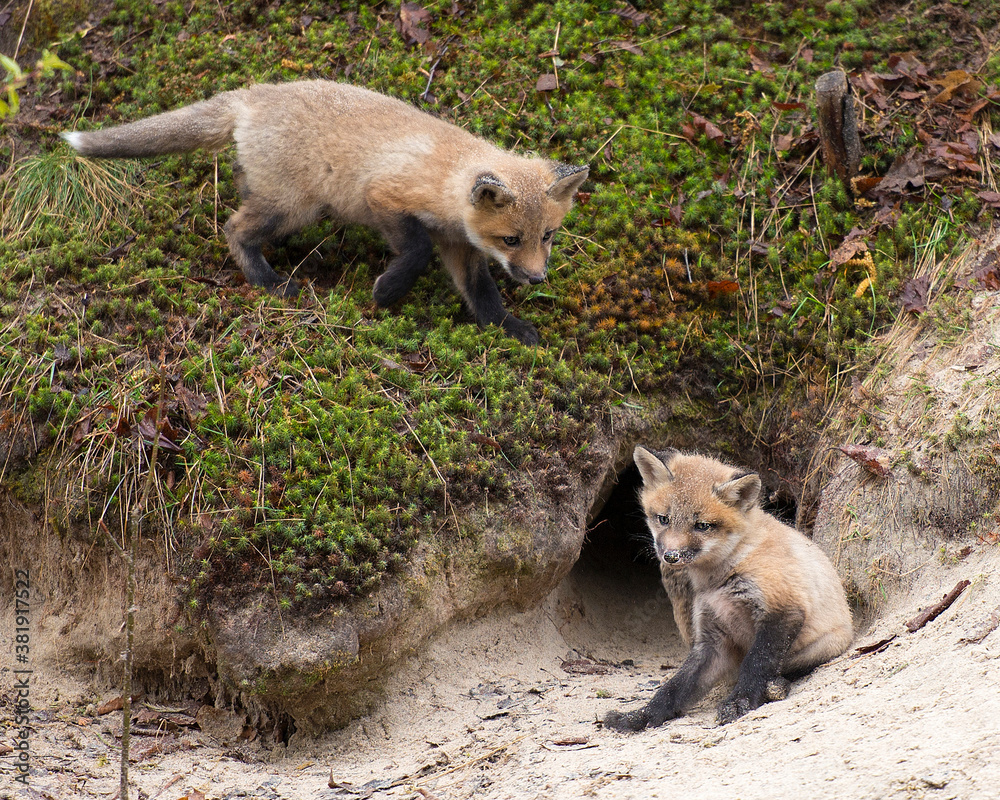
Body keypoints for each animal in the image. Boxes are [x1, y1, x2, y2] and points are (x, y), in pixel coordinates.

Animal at [60, 80, 589, 345]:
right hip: (296, 205)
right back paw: (269, 282)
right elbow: (415, 251)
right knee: (234, 228)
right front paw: (387, 291)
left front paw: (511, 329)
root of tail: (251, 93)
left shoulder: (461, 245)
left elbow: (483, 296)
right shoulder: (385, 198)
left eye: (547, 236)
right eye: (511, 239)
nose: (537, 278)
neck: (446, 184)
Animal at [603, 445, 853, 732]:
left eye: (702, 525)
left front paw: (740, 701)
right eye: (663, 519)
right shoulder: (713, 639)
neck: (721, 579)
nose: (671, 556)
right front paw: (640, 716)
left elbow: (757, 664)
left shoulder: (783, 609)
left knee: (785, 670)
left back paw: (775, 686)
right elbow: (673, 689)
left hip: (824, 645)